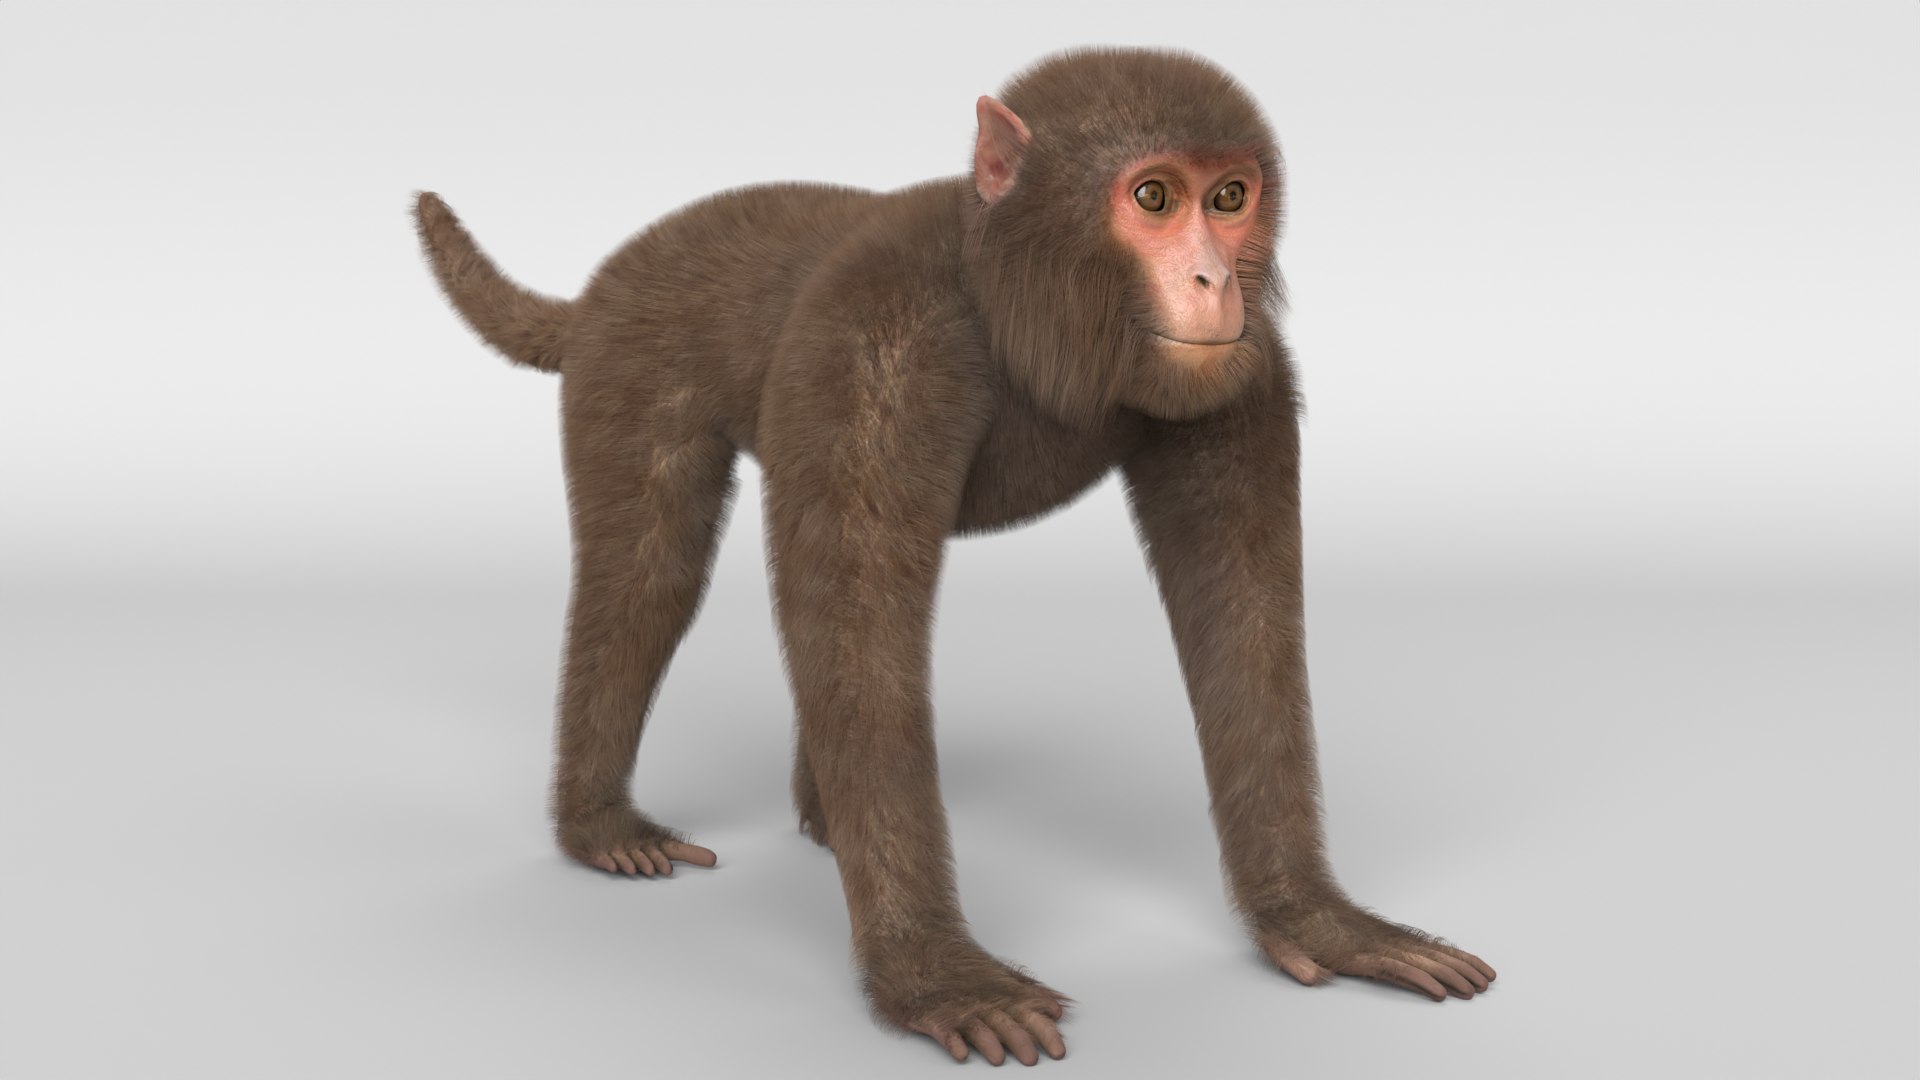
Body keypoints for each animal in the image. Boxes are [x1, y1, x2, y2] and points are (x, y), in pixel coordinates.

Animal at [414, 47, 1495, 1066]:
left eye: (1230, 198)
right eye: (1153, 198)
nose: (1212, 280)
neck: (1006, 294)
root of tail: (604, 280)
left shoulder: (1245, 371)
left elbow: (1241, 621)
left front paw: (1315, 918)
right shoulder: (880, 347)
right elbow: (857, 631)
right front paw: (936, 976)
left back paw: (818, 816)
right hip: (629, 354)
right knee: (653, 574)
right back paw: (599, 827)